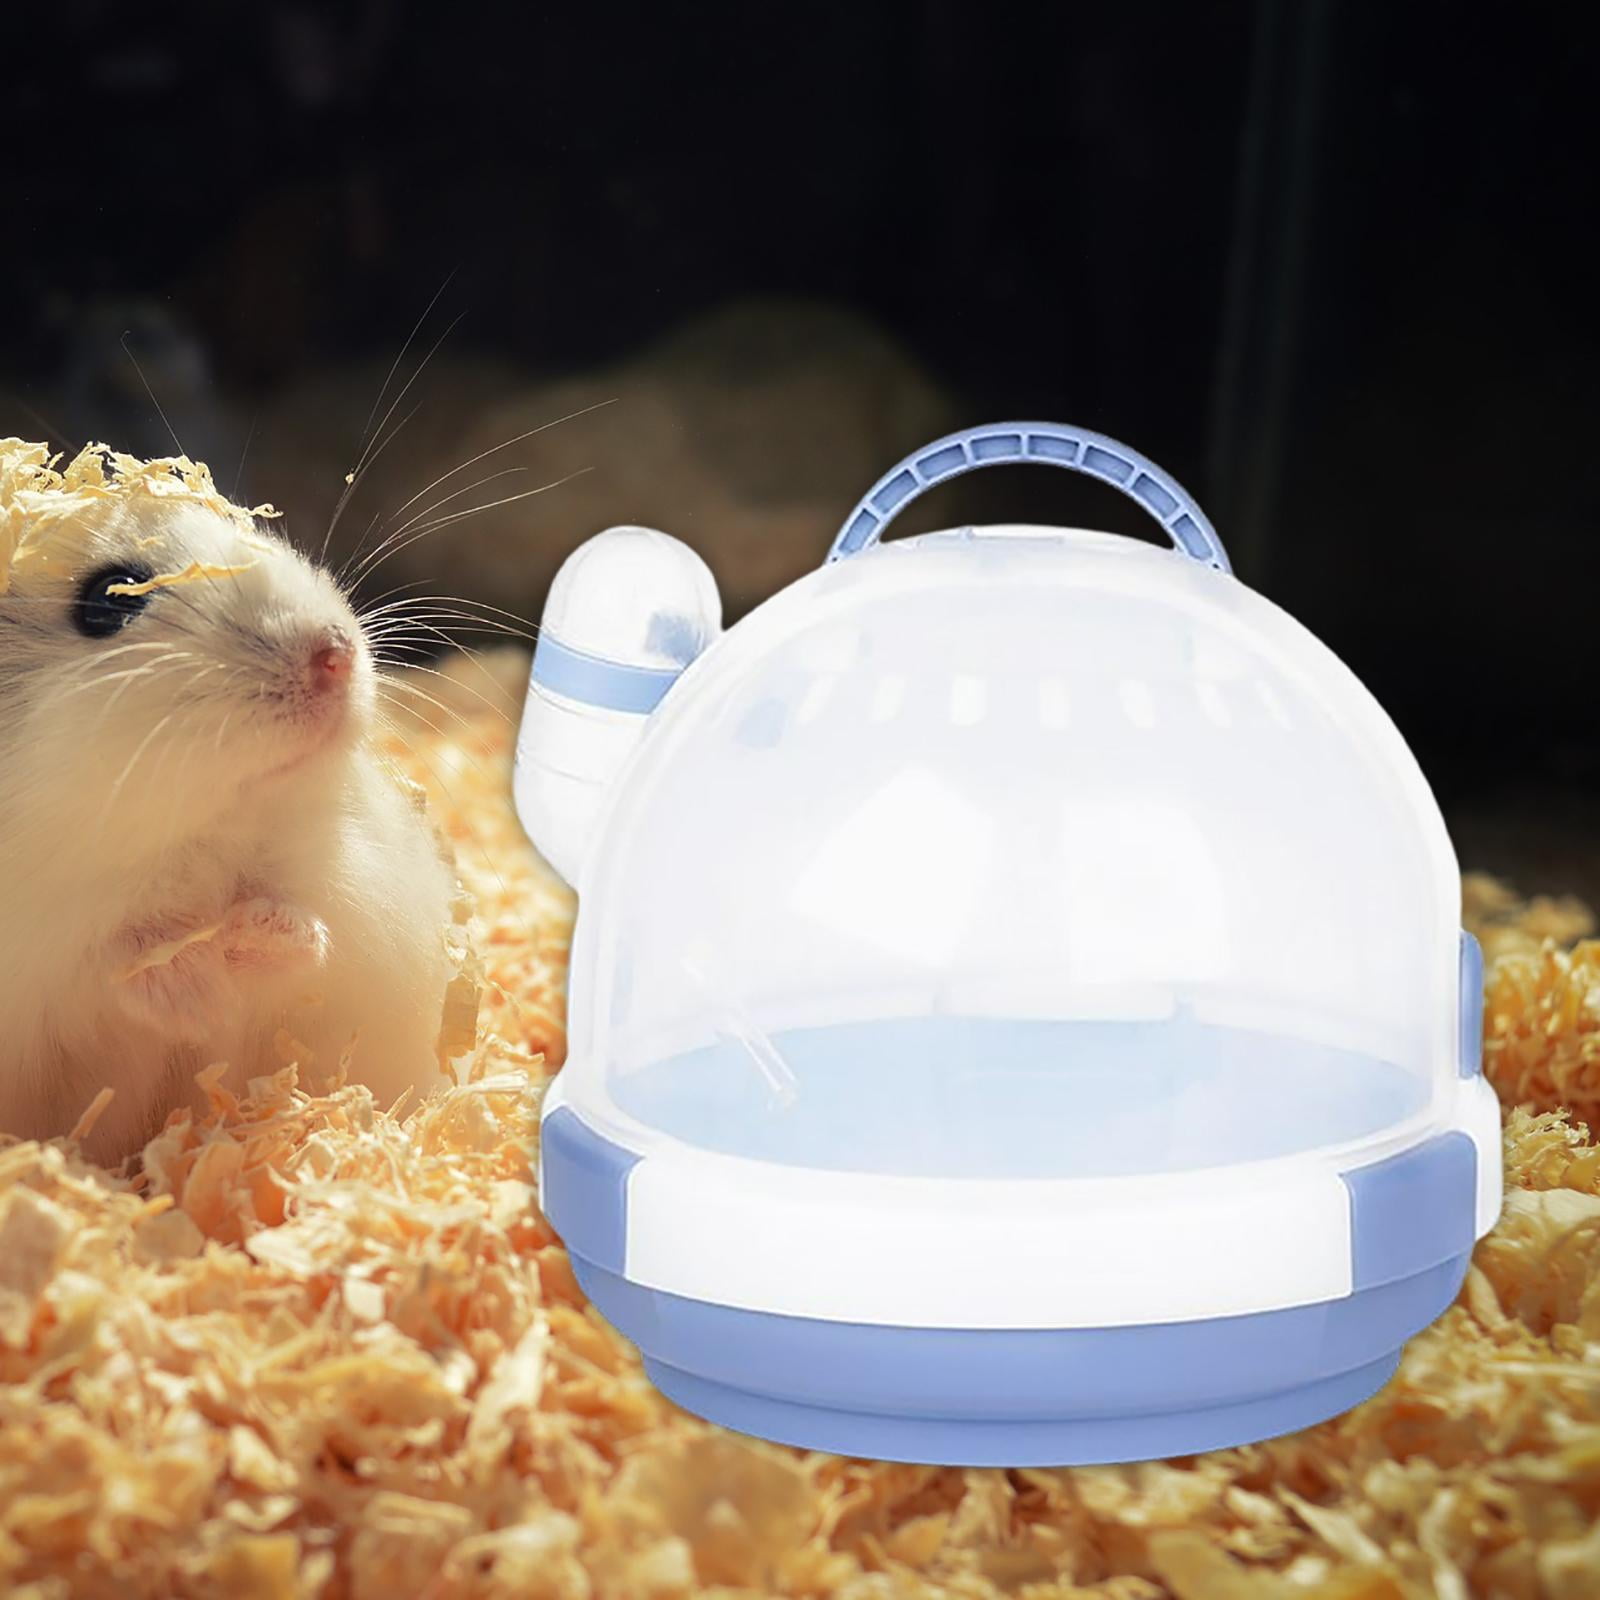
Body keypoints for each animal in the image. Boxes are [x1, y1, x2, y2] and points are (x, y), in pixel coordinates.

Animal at [0, 443, 460, 1165]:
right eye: (108, 600)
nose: (336, 655)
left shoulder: (357, 890)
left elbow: (309, 922)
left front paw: (250, 938)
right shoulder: (45, 955)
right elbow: (116, 962)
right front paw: (197, 985)